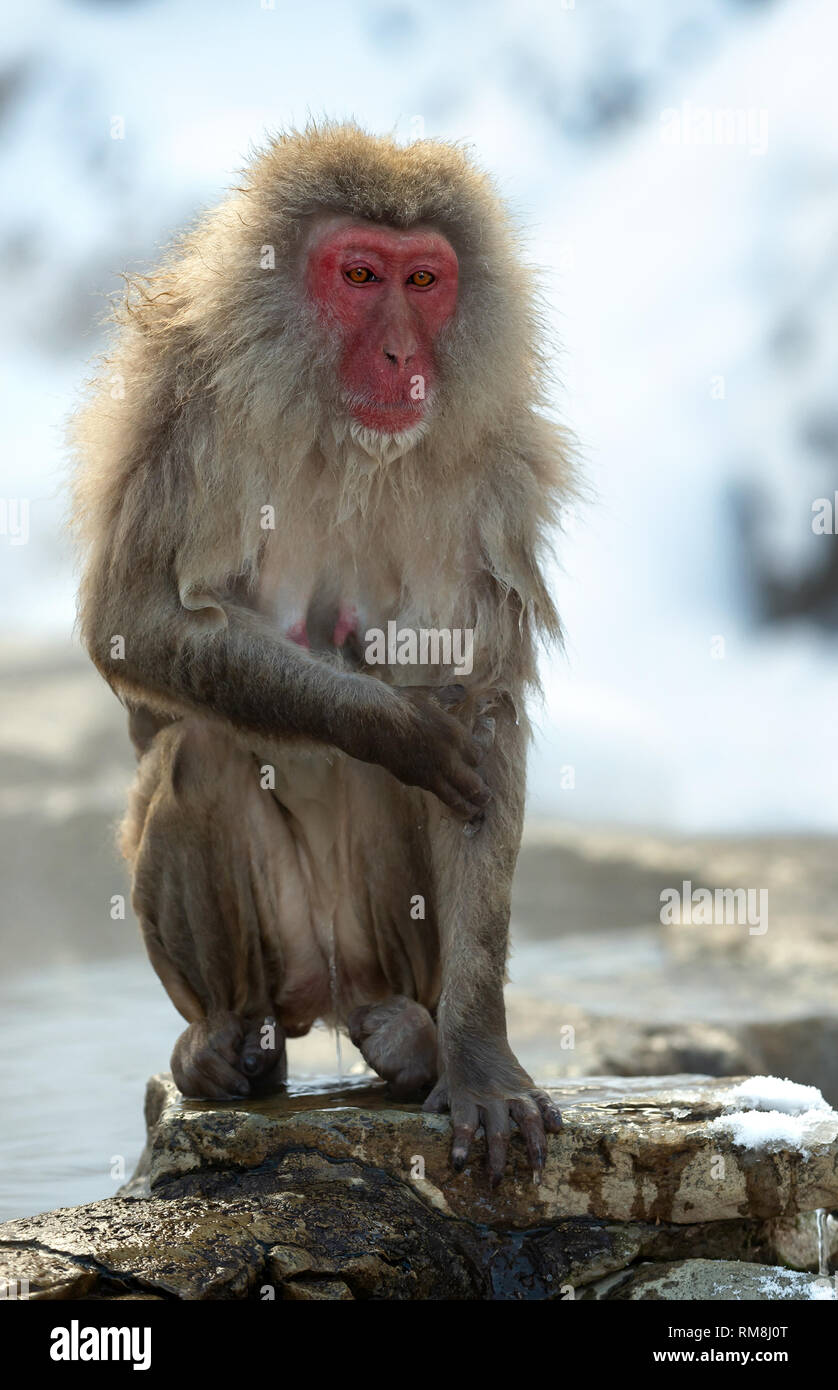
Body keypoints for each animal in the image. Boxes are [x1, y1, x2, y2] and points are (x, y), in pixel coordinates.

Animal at [71, 122, 573, 1185]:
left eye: (423, 280)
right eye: (358, 274)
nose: (400, 352)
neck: (339, 438)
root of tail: (327, 995)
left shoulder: (494, 468)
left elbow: (482, 704)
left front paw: (479, 1056)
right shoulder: (180, 404)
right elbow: (136, 621)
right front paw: (390, 723)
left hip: (379, 945)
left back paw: (415, 1040)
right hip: (279, 957)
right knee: (204, 749)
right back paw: (224, 1046)